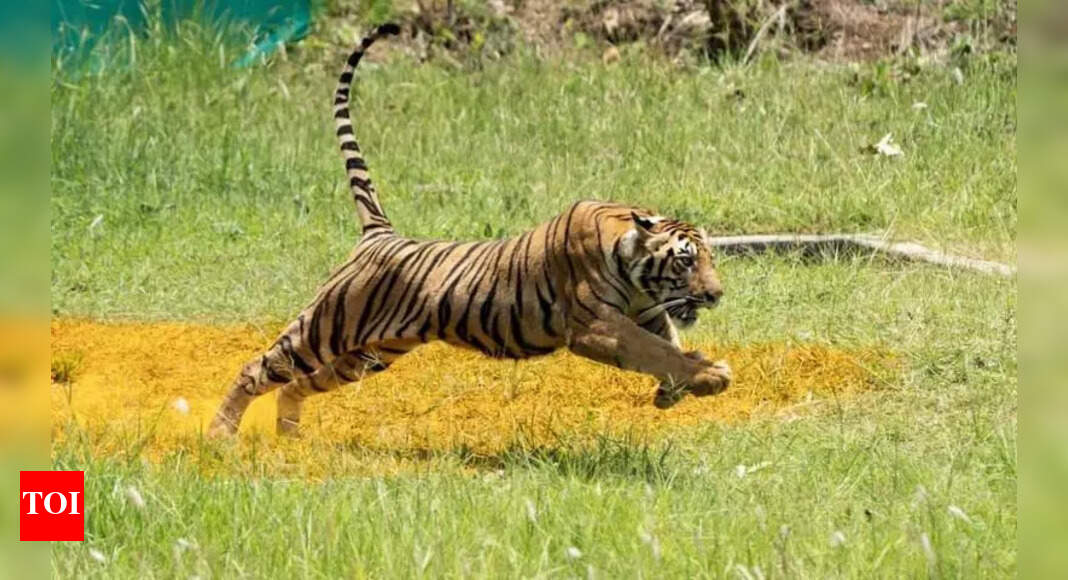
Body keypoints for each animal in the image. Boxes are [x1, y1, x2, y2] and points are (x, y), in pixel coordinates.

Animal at [208, 23, 730, 438]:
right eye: (686, 260)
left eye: (710, 259)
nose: (716, 295)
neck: (633, 264)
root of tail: (379, 233)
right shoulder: (597, 327)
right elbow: (654, 351)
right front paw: (708, 375)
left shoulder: (647, 313)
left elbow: (668, 343)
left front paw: (683, 385)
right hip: (325, 327)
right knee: (258, 369)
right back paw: (218, 436)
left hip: (370, 354)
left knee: (298, 384)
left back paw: (290, 438)